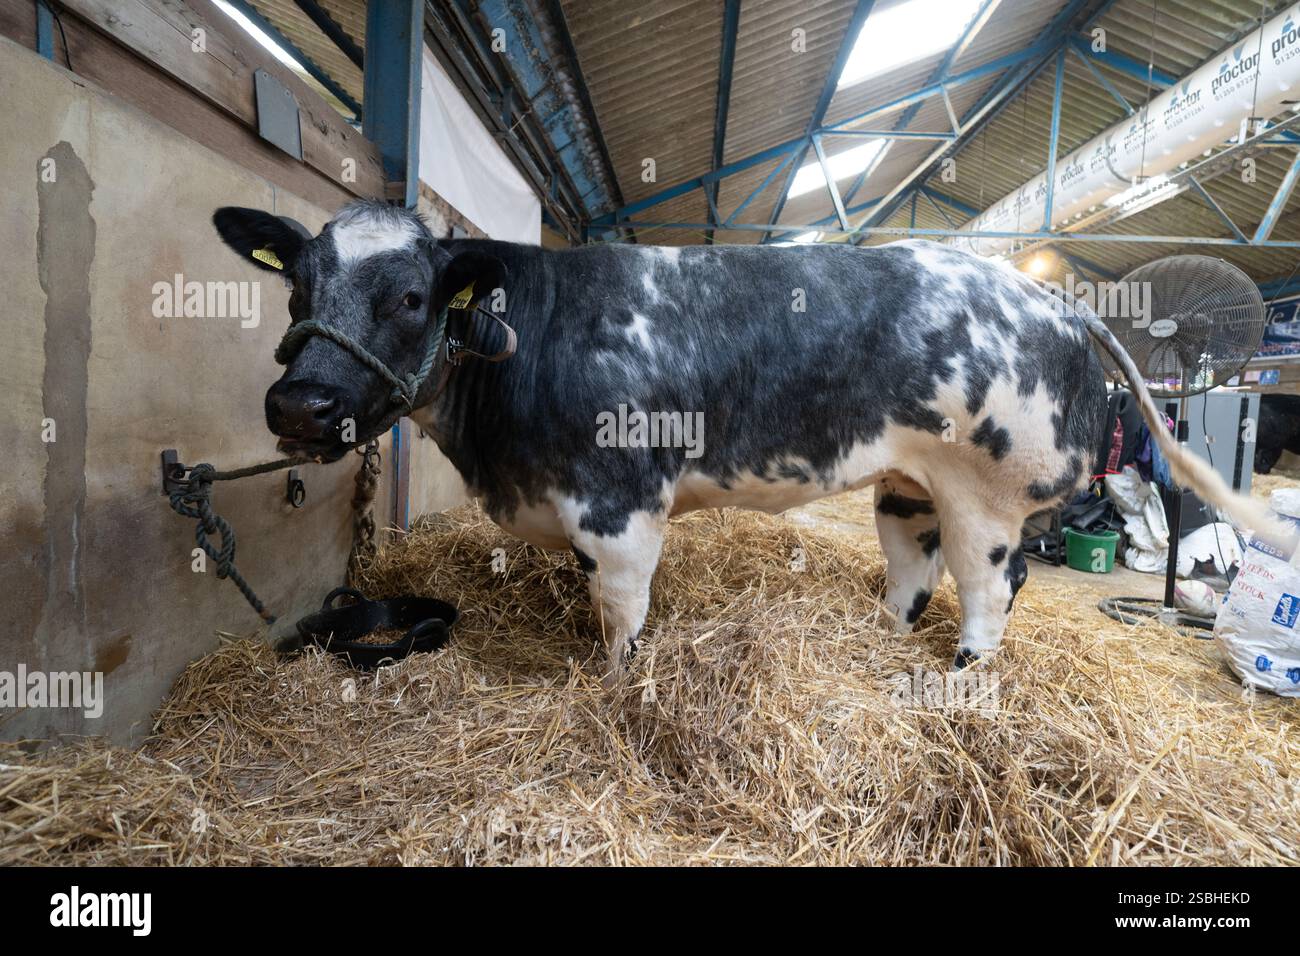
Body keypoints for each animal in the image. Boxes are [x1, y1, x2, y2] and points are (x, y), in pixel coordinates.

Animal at [212, 200, 1272, 681]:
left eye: (408, 297)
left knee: (988, 591)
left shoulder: (621, 505)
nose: (300, 405)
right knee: (912, 569)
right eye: (297, 288)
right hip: (907, 483)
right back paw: (877, 639)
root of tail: (1057, 299)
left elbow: (621, 618)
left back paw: (962, 681)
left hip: (992, 496)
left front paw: (618, 686)